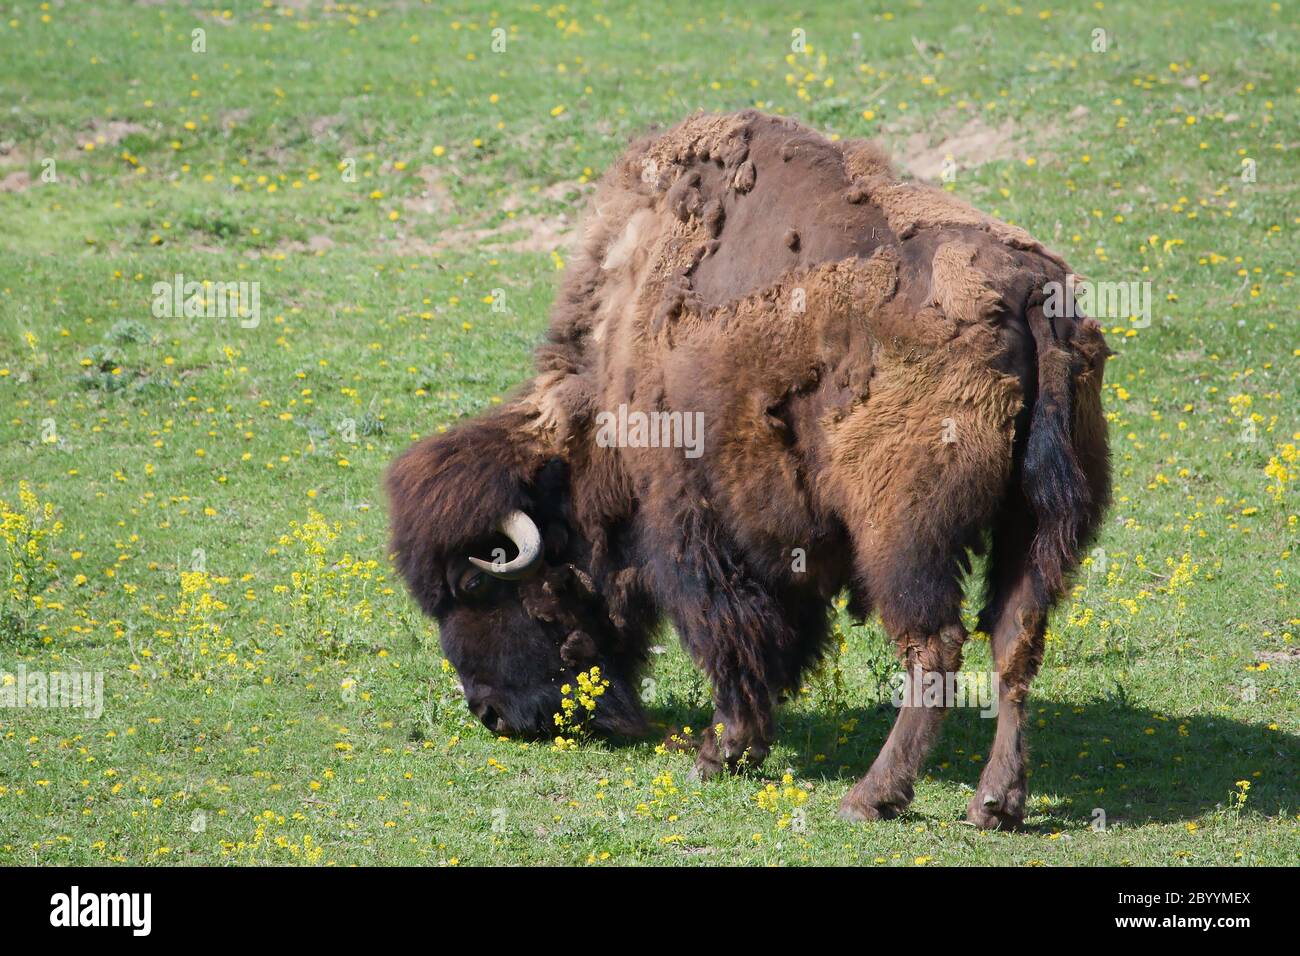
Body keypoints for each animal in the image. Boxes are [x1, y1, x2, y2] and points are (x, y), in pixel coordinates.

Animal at [387, 110, 1110, 828]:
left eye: (475, 586)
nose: (490, 713)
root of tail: (1029, 297)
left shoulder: (695, 523)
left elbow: (728, 628)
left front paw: (721, 751)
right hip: (1036, 528)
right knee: (1015, 639)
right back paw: (995, 803)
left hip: (904, 538)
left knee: (934, 644)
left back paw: (872, 797)